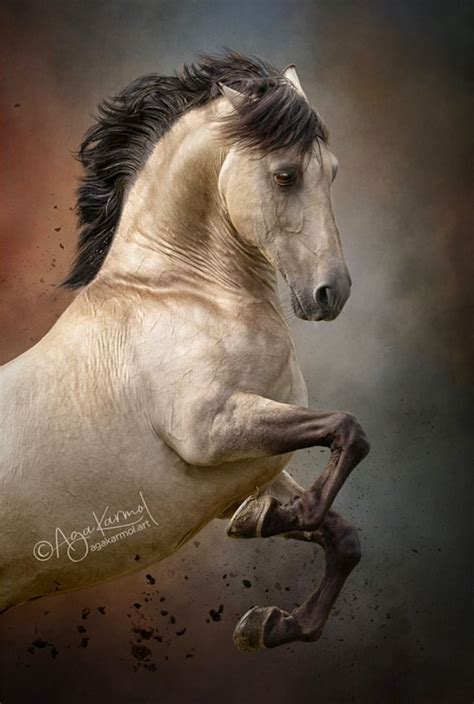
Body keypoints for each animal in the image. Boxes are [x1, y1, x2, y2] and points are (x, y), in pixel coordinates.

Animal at [0, 51, 370, 651]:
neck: (183, 293)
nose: (330, 293)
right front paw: (277, 517)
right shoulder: (210, 429)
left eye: (332, 172)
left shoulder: (251, 465)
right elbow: (346, 431)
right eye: (285, 175)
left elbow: (344, 536)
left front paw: (271, 624)